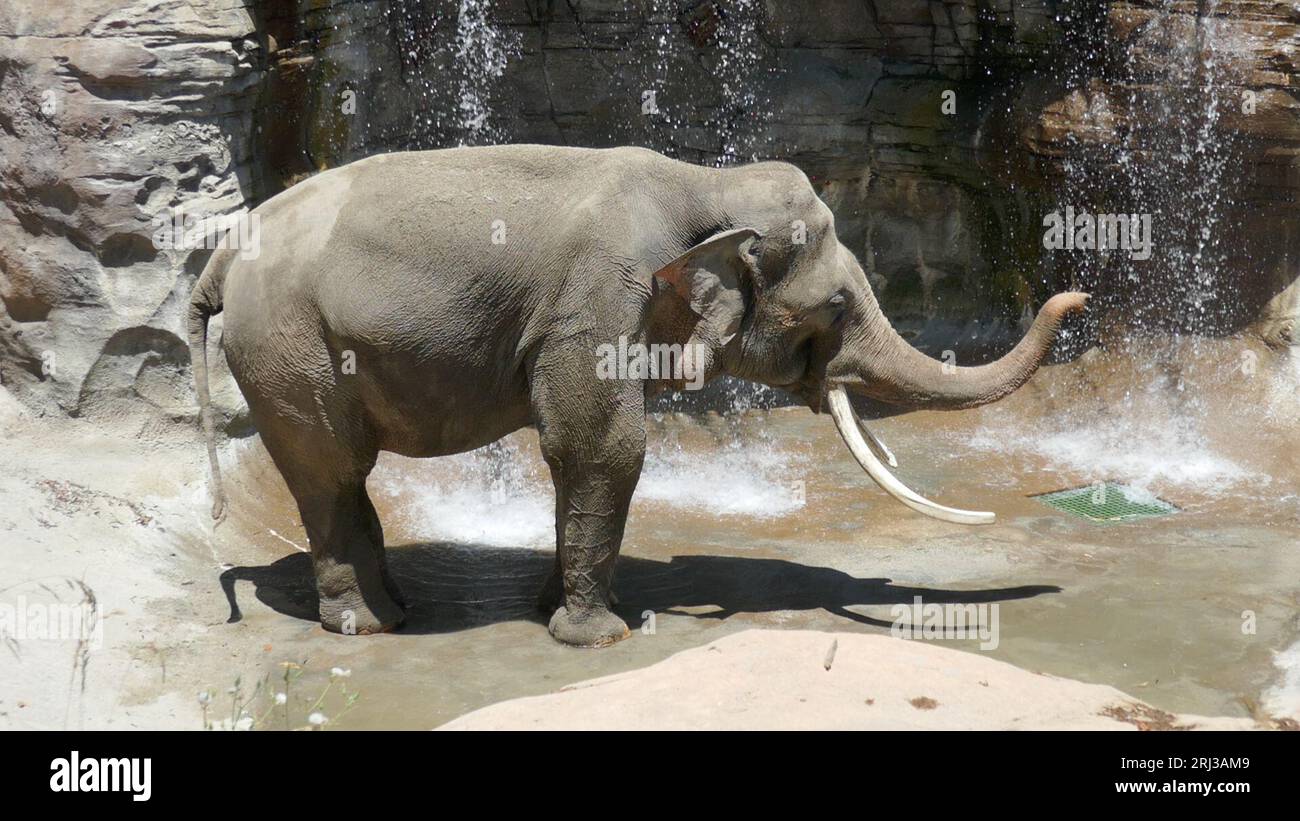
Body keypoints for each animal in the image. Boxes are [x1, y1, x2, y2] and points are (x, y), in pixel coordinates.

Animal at [189, 145, 1088, 647]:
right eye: (835, 307)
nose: (1077, 299)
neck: (703, 183)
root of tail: (224, 253)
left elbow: (577, 453)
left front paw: (562, 604)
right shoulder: (595, 299)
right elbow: (605, 447)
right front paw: (599, 635)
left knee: (335, 479)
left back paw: (394, 611)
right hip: (289, 346)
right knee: (332, 472)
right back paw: (370, 626)